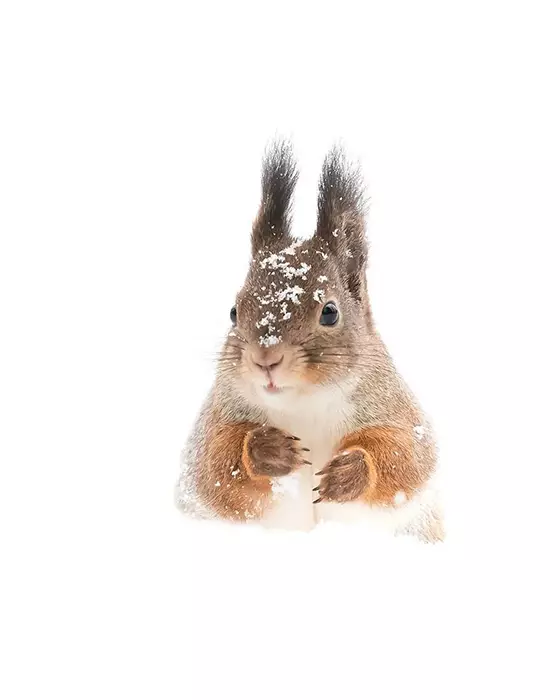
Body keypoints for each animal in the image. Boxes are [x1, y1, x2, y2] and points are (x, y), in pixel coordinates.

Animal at [177, 141, 444, 540]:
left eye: (329, 312)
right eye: (234, 312)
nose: (265, 359)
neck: (306, 405)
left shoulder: (398, 411)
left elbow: (406, 458)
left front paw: (349, 473)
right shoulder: (214, 423)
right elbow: (213, 465)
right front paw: (266, 450)